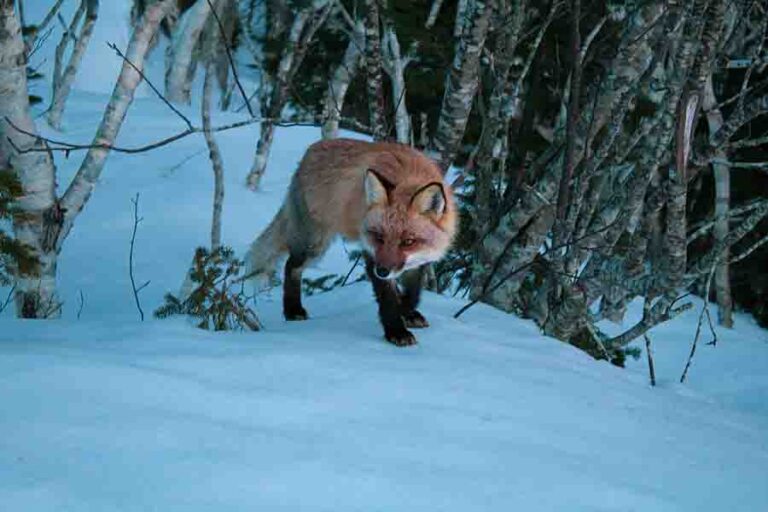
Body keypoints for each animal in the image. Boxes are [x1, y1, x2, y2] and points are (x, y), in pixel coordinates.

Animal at [245, 138, 457, 346]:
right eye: (379, 237)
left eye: (408, 241)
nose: (382, 271)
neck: (408, 176)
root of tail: (310, 151)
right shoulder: (371, 253)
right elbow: (387, 298)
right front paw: (396, 331)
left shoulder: (415, 261)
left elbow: (413, 293)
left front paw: (407, 311)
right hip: (314, 245)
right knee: (291, 266)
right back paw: (292, 309)